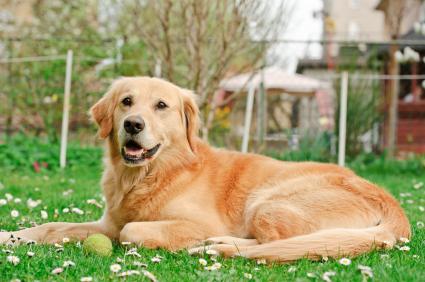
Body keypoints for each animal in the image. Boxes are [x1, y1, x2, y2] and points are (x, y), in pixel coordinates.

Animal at [0, 76, 410, 262]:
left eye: (161, 106)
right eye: (126, 101)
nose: (132, 124)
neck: (152, 175)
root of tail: (394, 207)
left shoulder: (188, 222)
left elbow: (133, 230)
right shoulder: (107, 224)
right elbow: (52, 227)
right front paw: (12, 236)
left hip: (267, 201)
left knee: (277, 243)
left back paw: (218, 245)